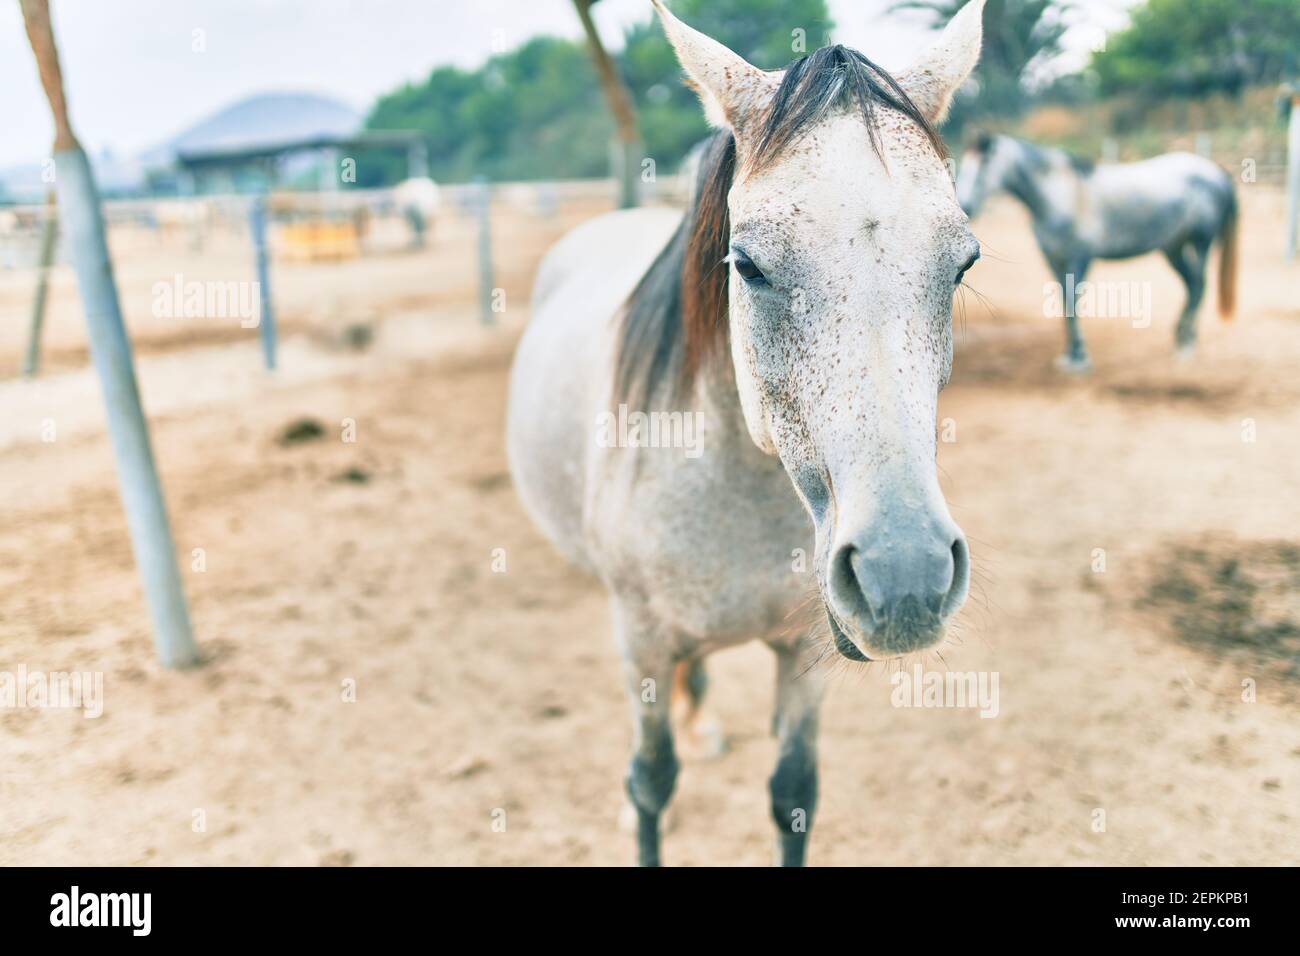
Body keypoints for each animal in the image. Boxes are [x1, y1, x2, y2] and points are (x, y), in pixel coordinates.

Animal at [507, 0, 986, 866]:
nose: (905, 578)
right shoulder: (641, 643)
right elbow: (650, 784)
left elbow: (793, 793)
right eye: (749, 265)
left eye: (963, 263)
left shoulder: (802, 657)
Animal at [955, 132, 1238, 371]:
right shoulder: (1054, 261)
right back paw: (1181, 338)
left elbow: (1072, 301)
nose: (966, 206)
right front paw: (1071, 354)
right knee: (1191, 285)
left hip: (1200, 243)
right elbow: (1064, 303)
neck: (1059, 194)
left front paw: (1080, 356)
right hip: (1174, 248)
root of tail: (1216, 173)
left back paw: (1187, 345)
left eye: (983, 165)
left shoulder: (1079, 259)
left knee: (1199, 285)